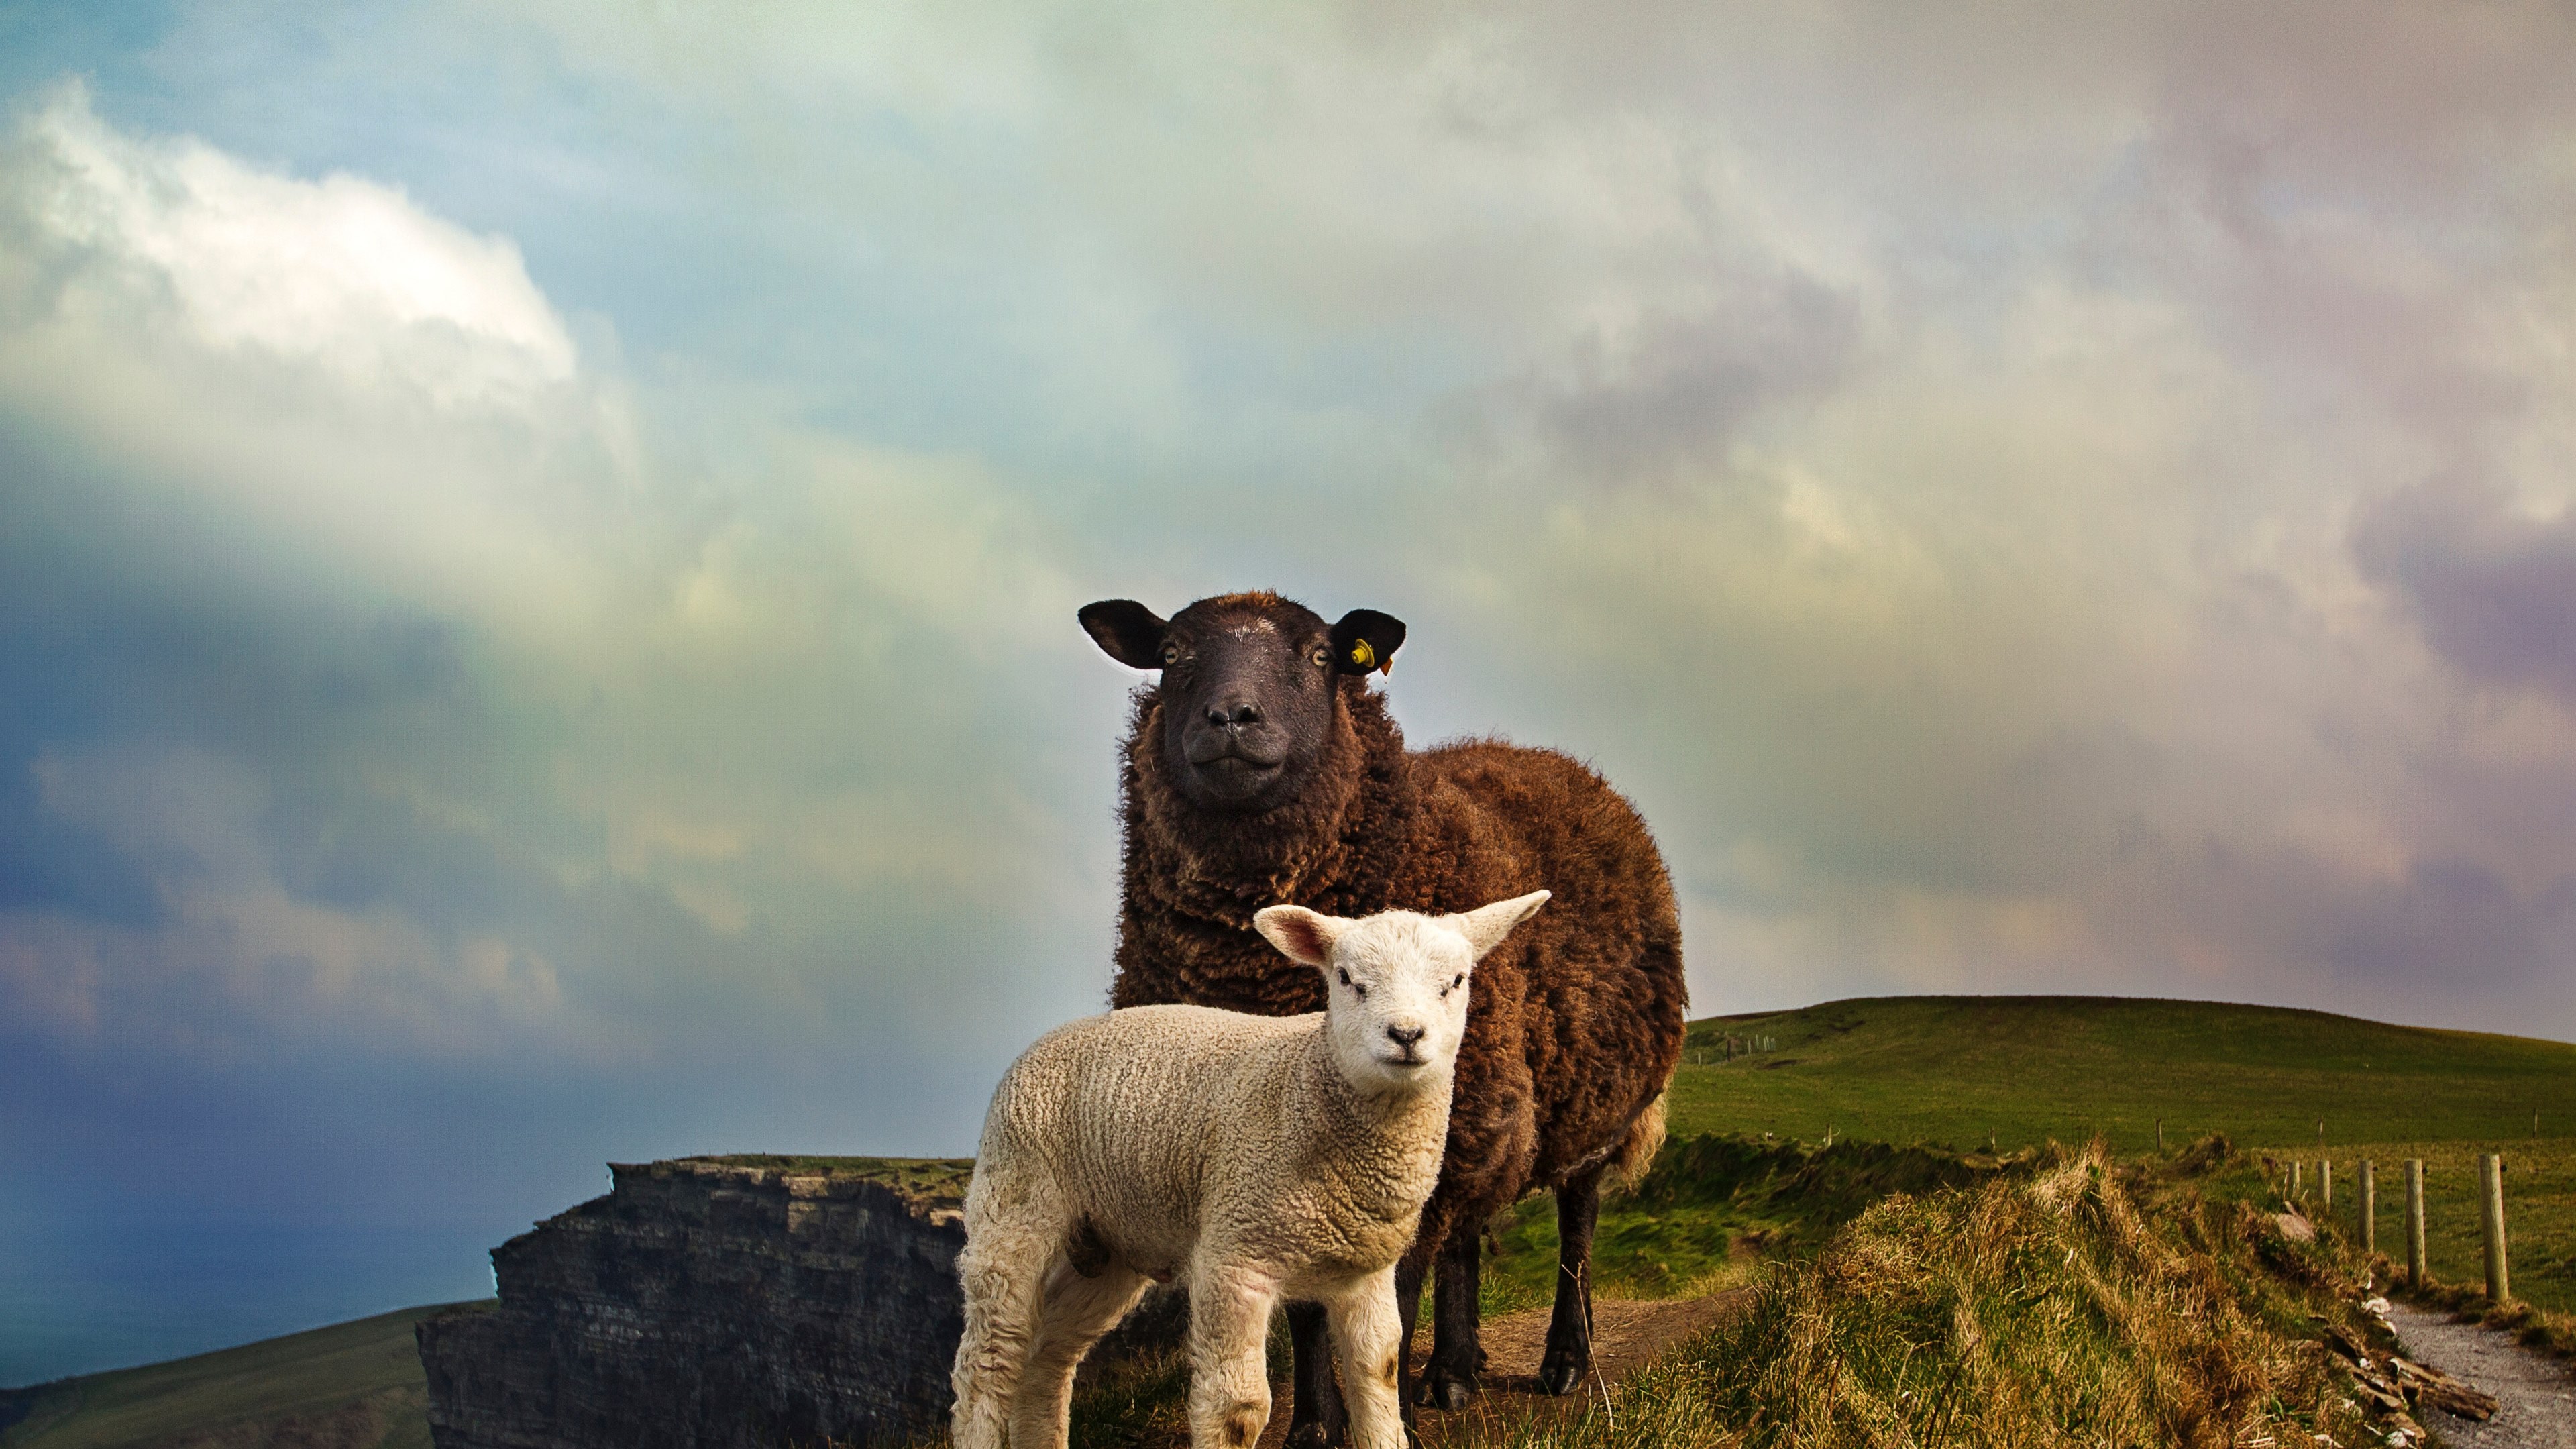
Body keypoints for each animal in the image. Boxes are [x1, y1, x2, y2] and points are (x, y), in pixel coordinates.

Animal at [949, 892, 1551, 1449]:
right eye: (1346, 978)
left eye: (1456, 980)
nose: (1405, 1035)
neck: (1306, 1088)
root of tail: (1048, 1039)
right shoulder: (1235, 1256)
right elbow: (1238, 1410)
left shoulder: (1365, 1273)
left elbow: (1377, 1378)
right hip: (1014, 1204)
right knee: (989, 1363)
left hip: (1109, 1244)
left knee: (1047, 1359)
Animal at [1075, 591, 1688, 1444]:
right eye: (1171, 653)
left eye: (1320, 657)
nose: (1230, 717)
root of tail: (1558, 761)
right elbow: (1310, 1310)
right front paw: (1313, 1426)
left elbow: (1390, 1299)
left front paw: (1379, 1417)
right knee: (1469, 1235)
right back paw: (1454, 1373)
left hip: (1584, 1102)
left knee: (1577, 1225)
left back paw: (1565, 1360)